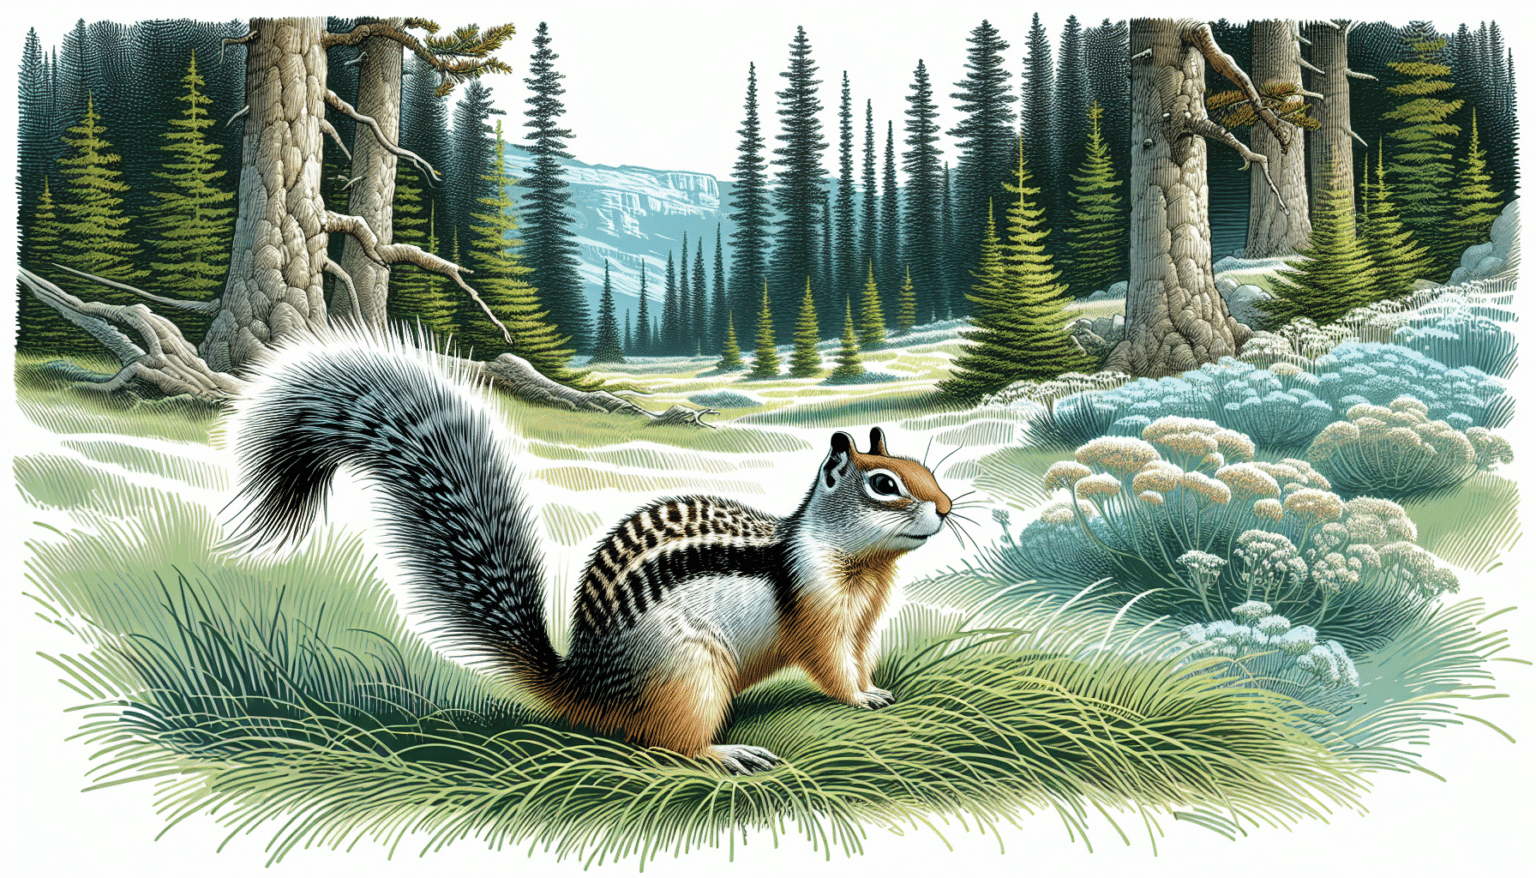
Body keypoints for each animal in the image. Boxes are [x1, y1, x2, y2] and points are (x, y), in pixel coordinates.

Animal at [228, 338, 952, 774]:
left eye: (921, 469)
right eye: (882, 485)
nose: (946, 508)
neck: (861, 564)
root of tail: (584, 685)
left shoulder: (863, 618)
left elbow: (859, 656)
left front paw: (874, 687)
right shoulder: (818, 611)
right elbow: (828, 663)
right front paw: (857, 698)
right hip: (692, 675)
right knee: (669, 745)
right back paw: (729, 754)